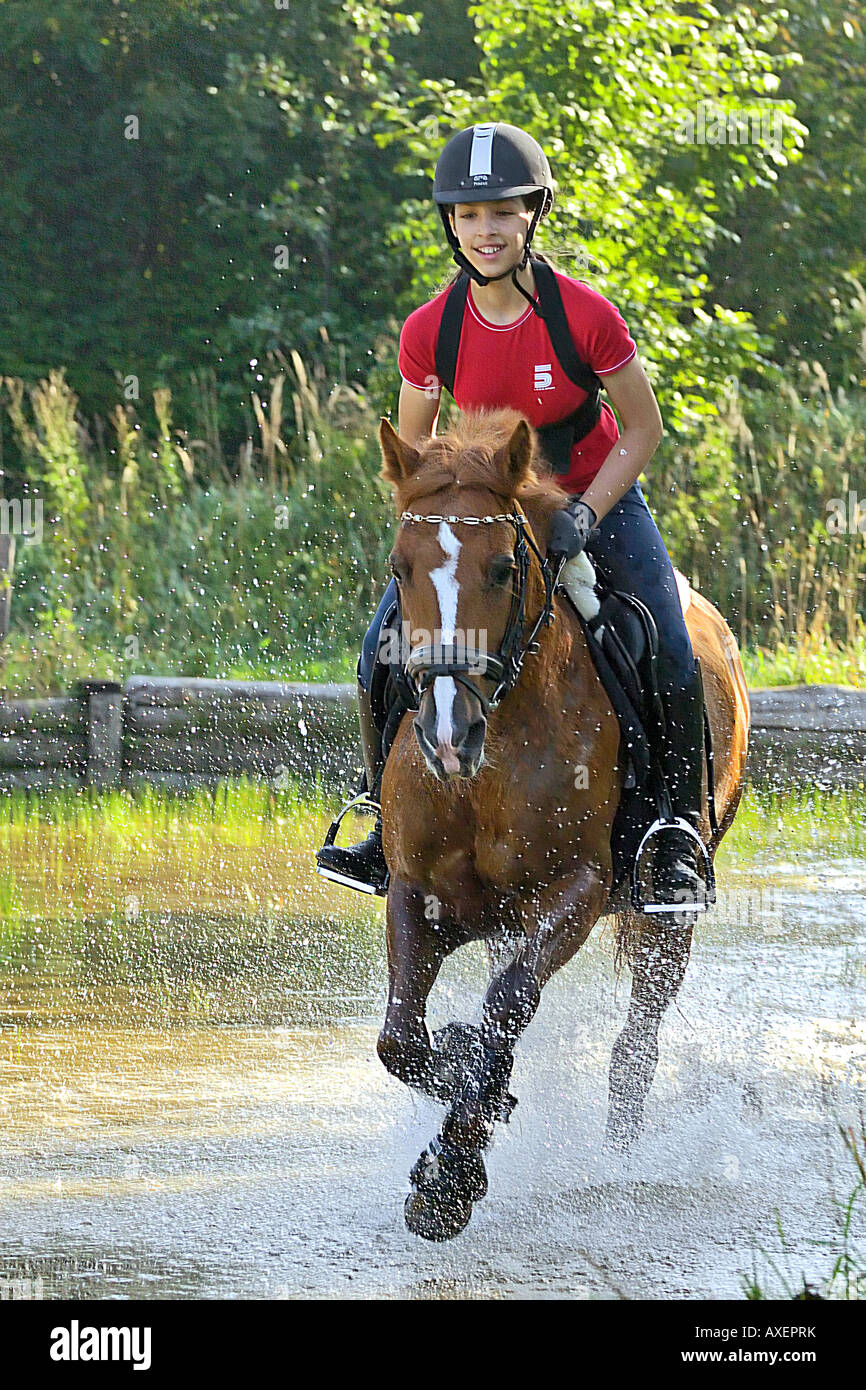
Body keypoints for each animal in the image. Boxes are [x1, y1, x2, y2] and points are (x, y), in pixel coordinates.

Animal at [373, 406, 750, 1240]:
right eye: (400, 566)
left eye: (501, 570)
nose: (447, 734)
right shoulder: (417, 891)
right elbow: (404, 1040)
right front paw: (467, 1080)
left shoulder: (573, 892)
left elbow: (509, 1007)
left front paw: (449, 1180)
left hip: (664, 912)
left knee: (635, 1048)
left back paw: (616, 1166)